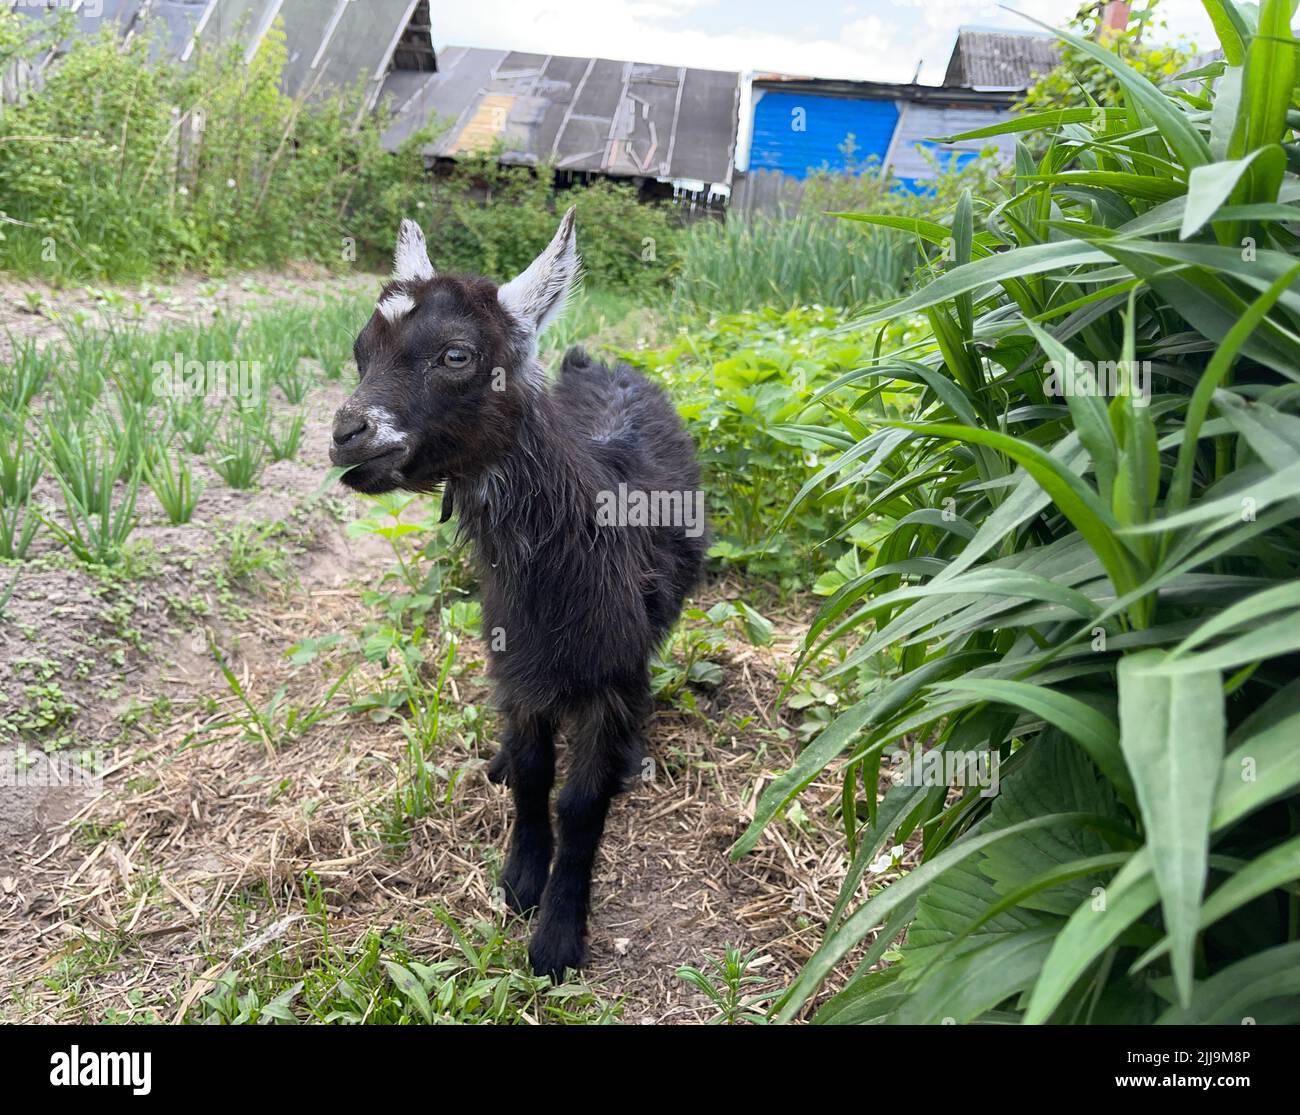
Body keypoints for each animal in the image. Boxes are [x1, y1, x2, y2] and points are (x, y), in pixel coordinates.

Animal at [329, 209, 706, 977]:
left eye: (456, 355)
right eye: (361, 349)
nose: (347, 435)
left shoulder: (609, 676)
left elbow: (581, 803)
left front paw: (558, 939)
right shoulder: (516, 662)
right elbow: (535, 775)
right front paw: (522, 880)